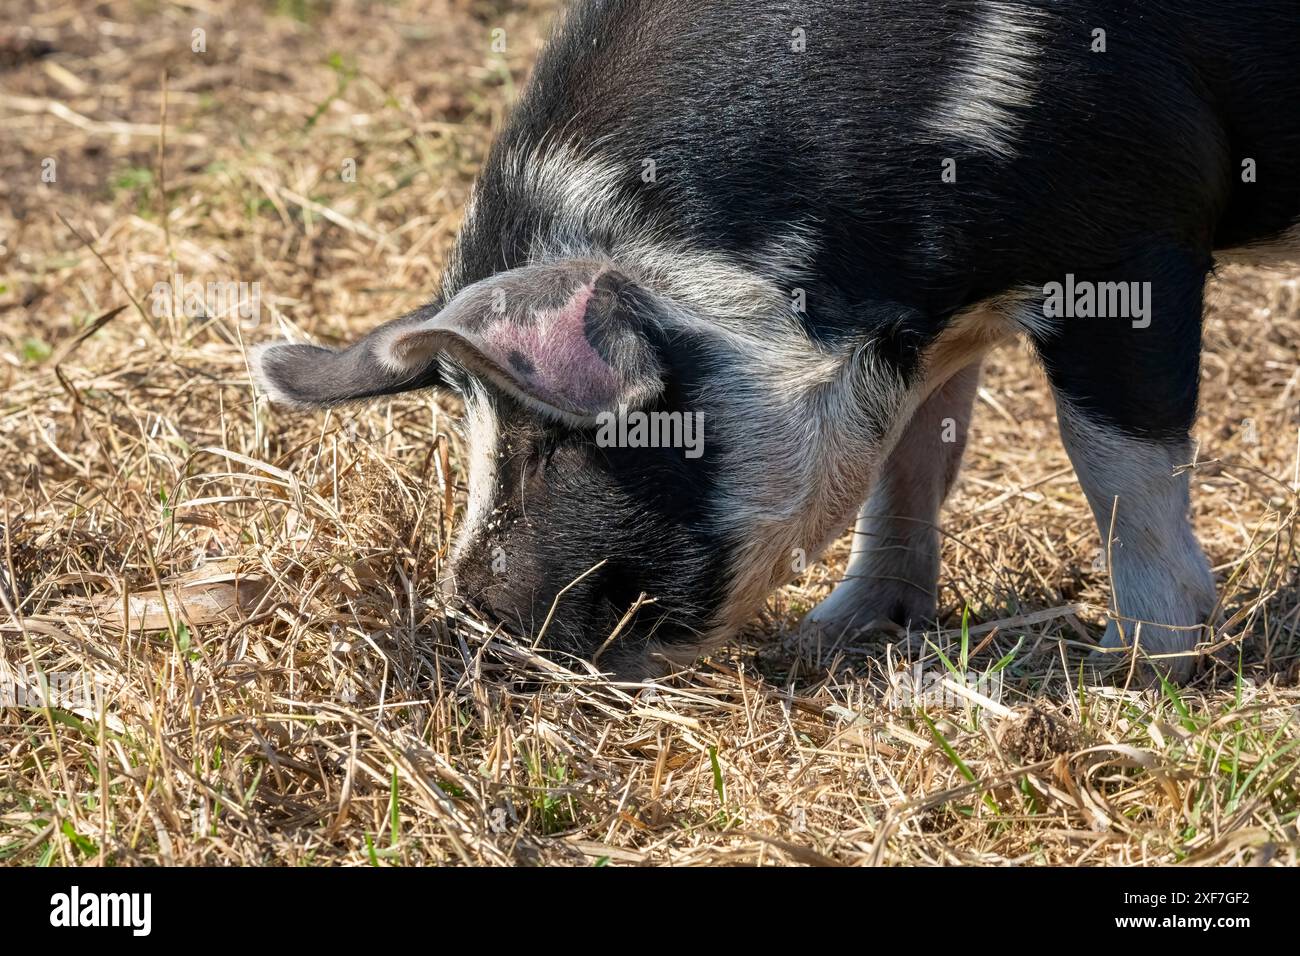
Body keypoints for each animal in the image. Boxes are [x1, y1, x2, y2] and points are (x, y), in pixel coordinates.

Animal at [253, 0, 1300, 680]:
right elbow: (911, 459)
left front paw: (1136, 671)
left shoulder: (1133, 234)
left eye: (552, 442)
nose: (473, 611)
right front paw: (833, 637)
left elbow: (1118, 459)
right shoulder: (931, 311)